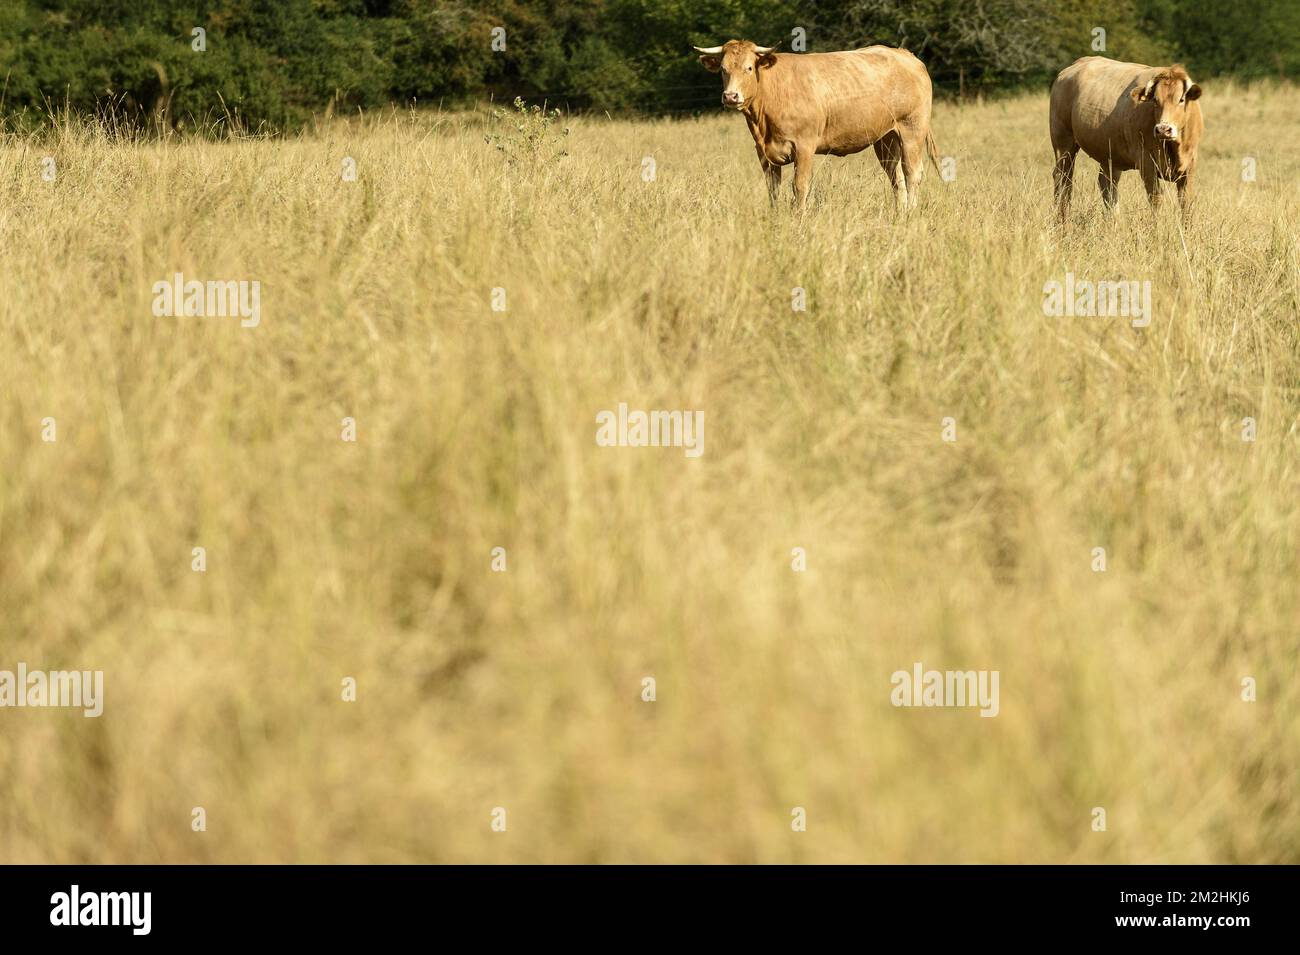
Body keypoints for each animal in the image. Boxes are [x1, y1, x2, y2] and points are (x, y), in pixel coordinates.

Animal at [693, 40, 939, 212]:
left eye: (749, 68)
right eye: (723, 69)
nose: (731, 96)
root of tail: (905, 55)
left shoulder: (804, 146)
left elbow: (800, 187)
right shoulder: (763, 151)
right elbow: (773, 190)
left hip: (912, 129)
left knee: (912, 173)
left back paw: (910, 214)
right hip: (886, 138)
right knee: (896, 178)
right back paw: (900, 214)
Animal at [1050, 56, 1203, 222]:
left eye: (1181, 100)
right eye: (1155, 100)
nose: (1163, 129)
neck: (1173, 147)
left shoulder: (1190, 165)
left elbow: (1186, 202)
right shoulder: (1146, 162)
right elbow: (1156, 199)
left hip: (1109, 154)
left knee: (1108, 185)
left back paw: (1114, 222)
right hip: (1063, 143)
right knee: (1063, 180)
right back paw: (1061, 220)